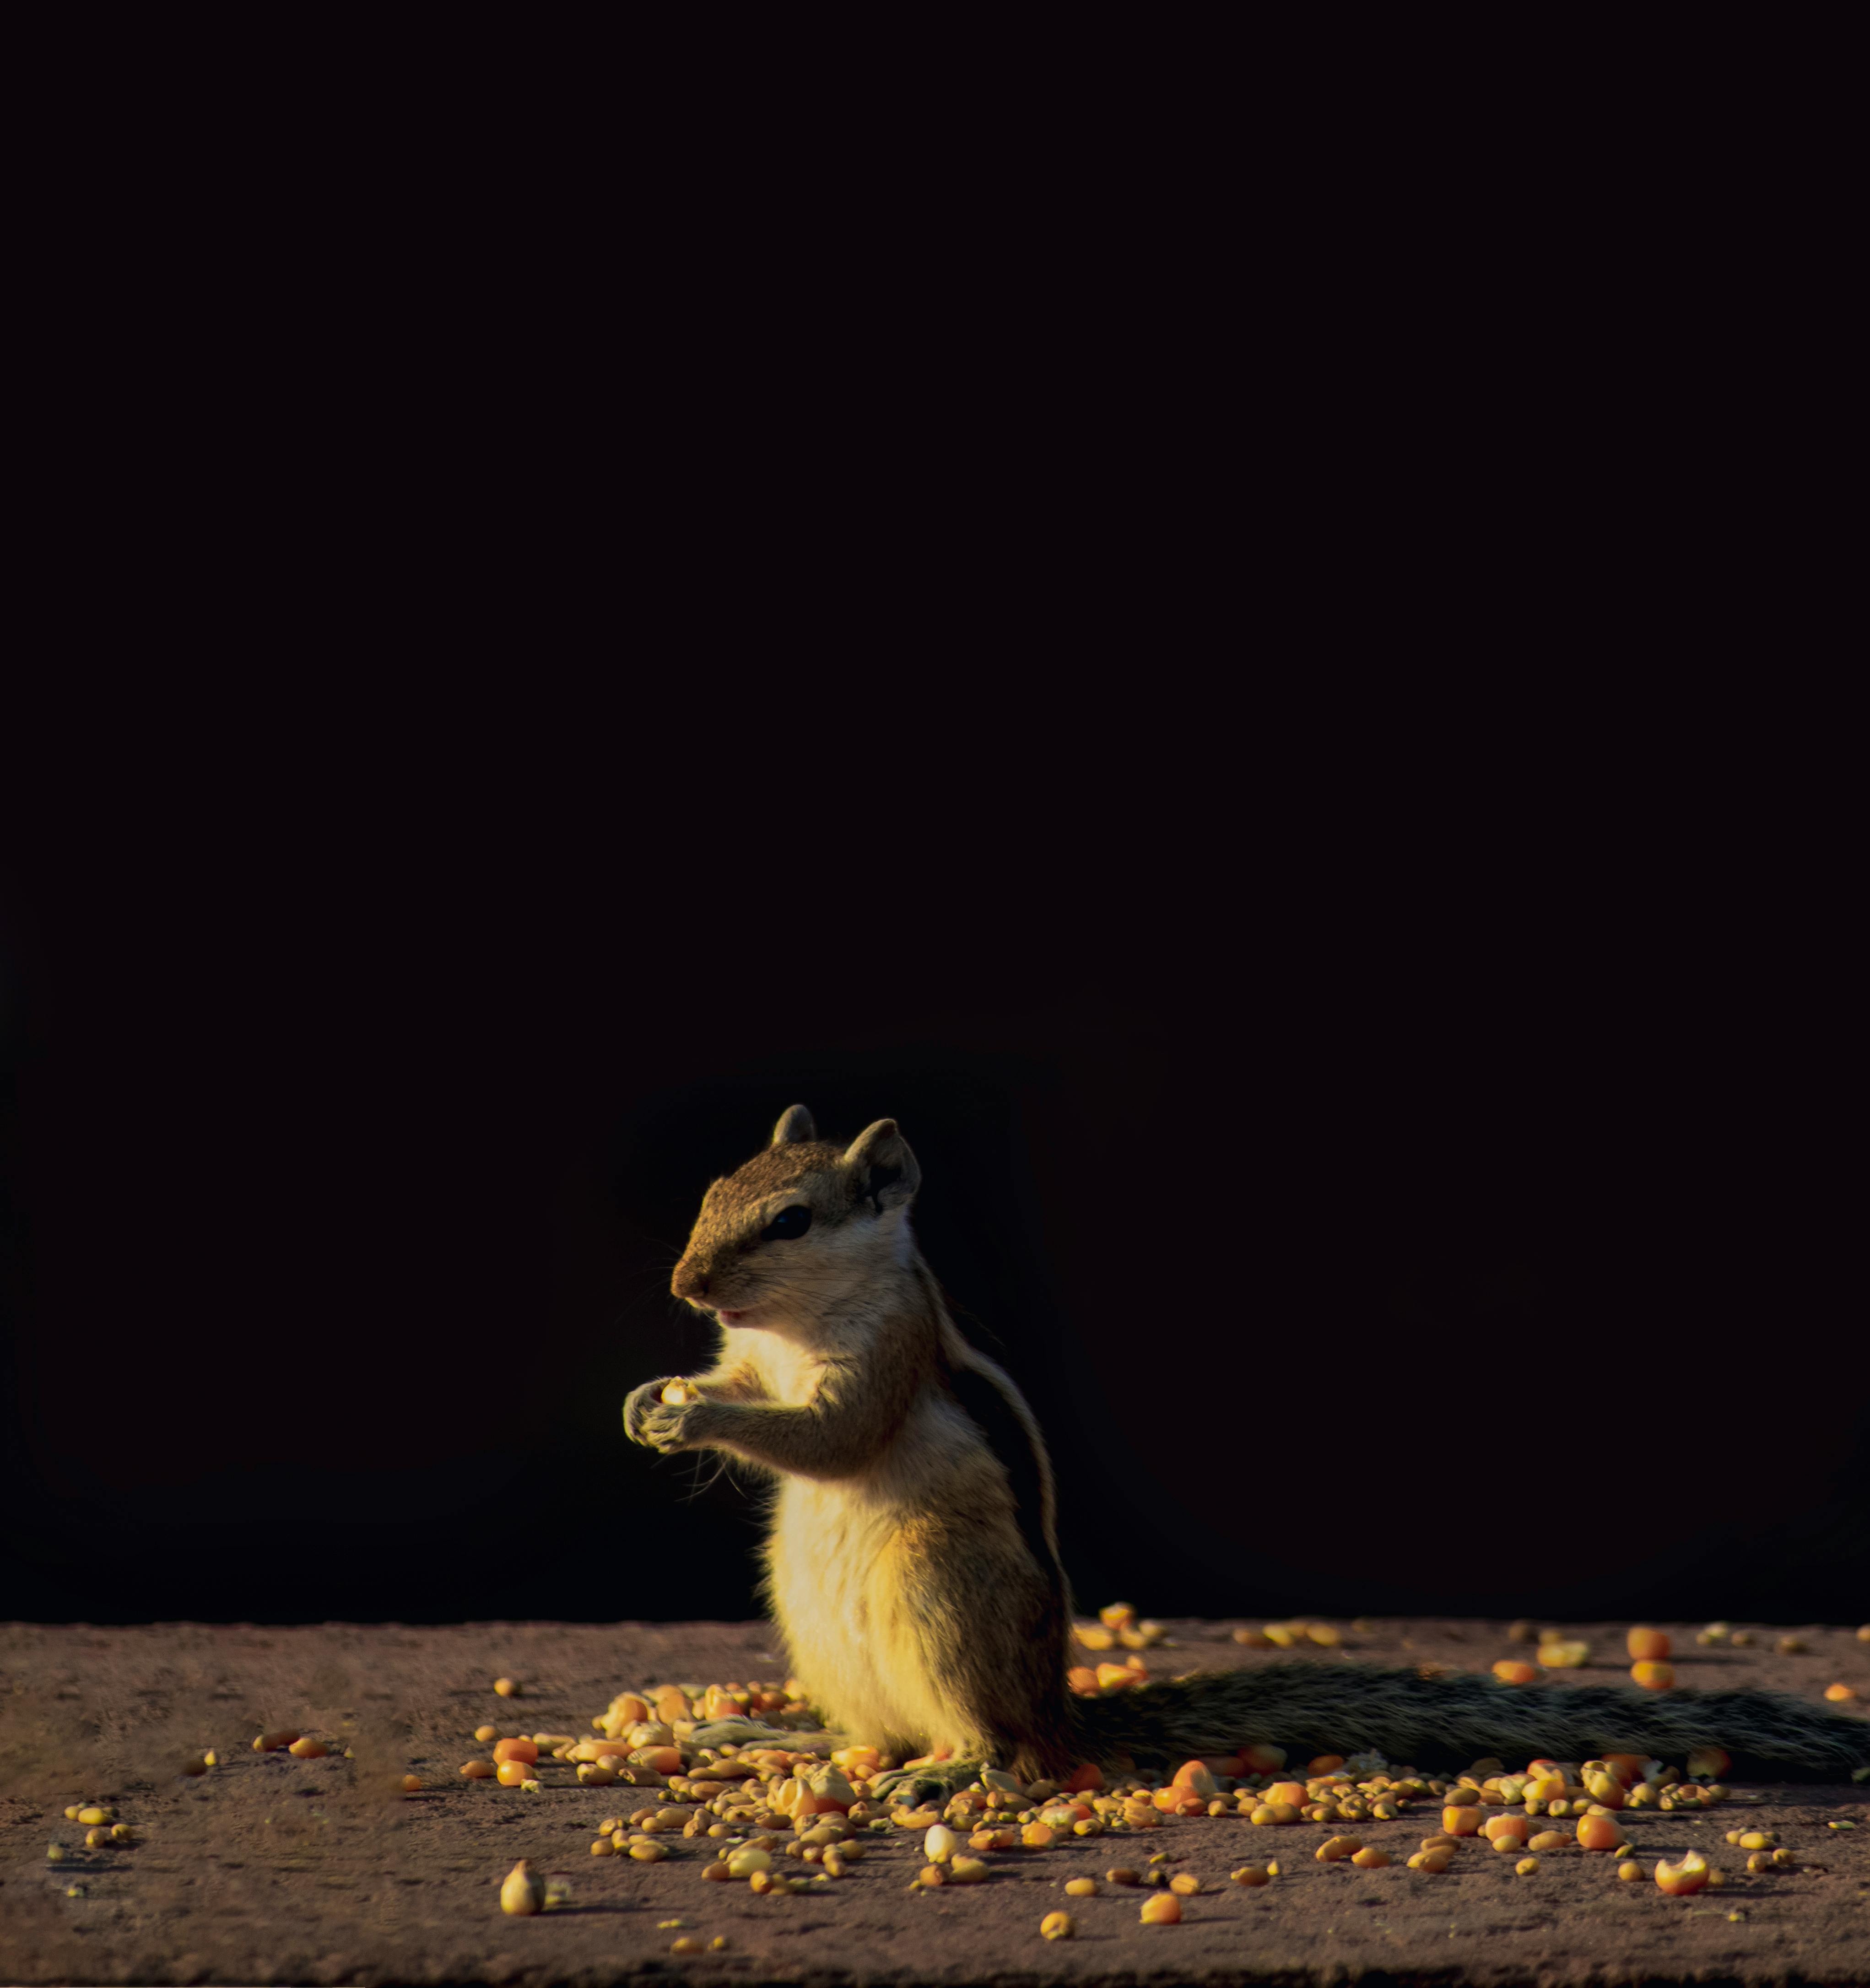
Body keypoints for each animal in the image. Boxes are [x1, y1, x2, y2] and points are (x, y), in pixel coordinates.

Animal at [625, 1107, 1868, 1790]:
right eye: (713, 1192)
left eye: (789, 1220)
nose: (683, 1286)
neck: (794, 1324)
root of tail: (1062, 1706)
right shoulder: (758, 1357)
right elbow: (744, 1388)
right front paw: (652, 1398)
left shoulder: (881, 1365)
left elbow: (830, 1437)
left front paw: (694, 1418)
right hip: (811, 1615)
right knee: (869, 1736)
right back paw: (774, 1733)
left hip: (939, 1591)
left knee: (1000, 1748)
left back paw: (952, 1770)